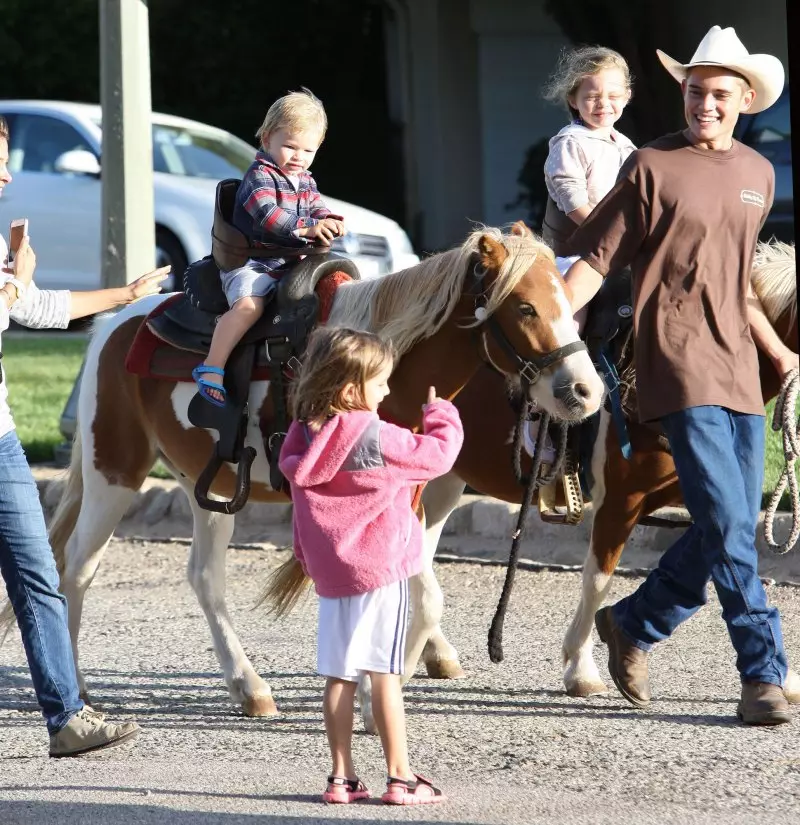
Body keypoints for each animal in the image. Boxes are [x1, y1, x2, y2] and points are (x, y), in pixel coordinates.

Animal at [1, 227, 608, 720]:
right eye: (525, 307)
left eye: (566, 299)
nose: (585, 391)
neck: (383, 369)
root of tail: (114, 327)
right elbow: (414, 594)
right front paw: (378, 698)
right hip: (115, 471)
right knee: (78, 567)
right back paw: (81, 689)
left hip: (208, 482)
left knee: (203, 577)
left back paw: (247, 687)